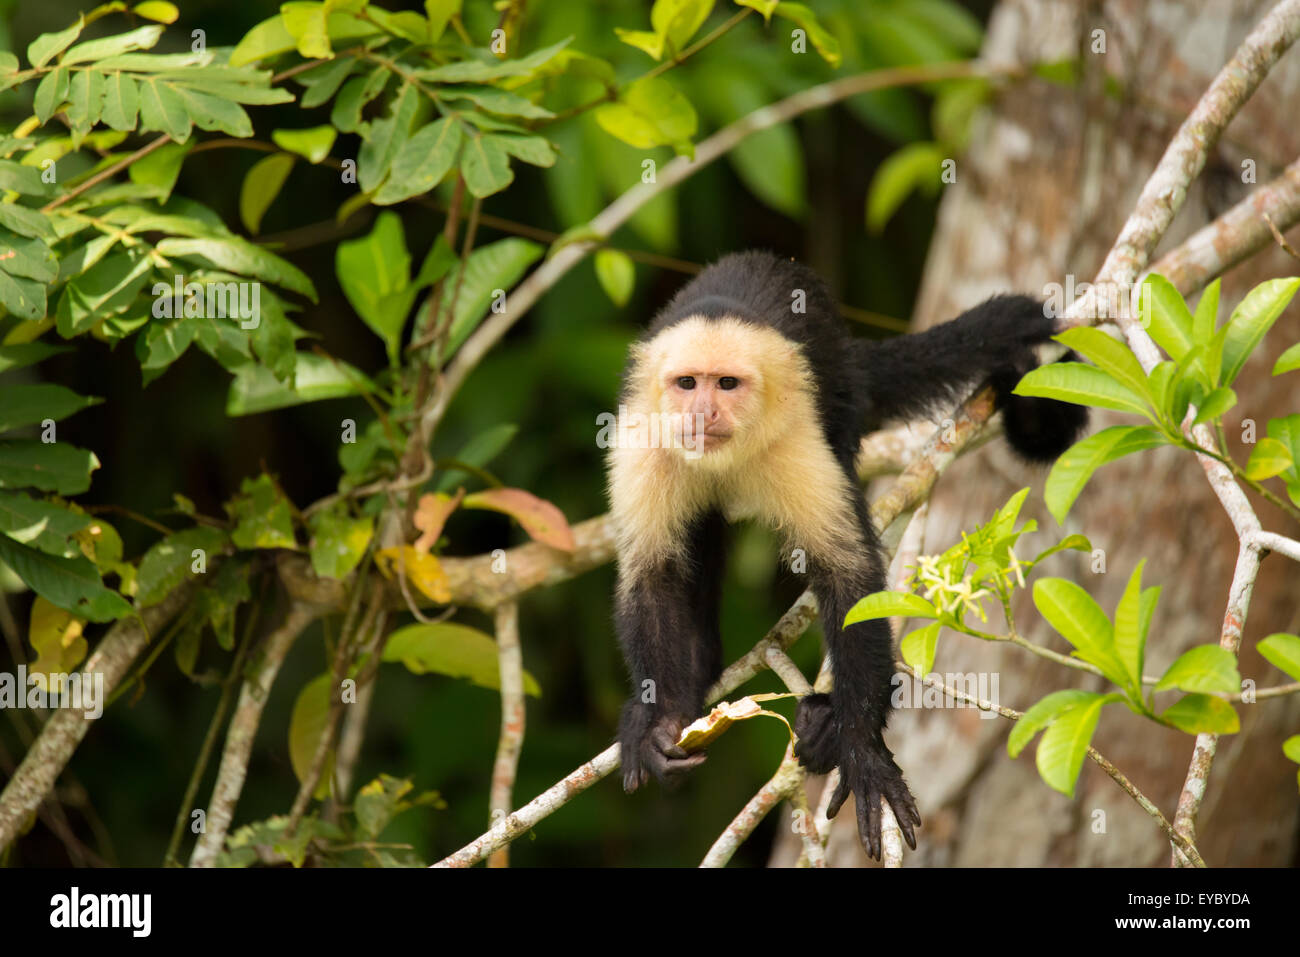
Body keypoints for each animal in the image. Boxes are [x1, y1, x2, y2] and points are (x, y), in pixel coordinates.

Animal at [606, 250, 1088, 860]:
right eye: (687, 383)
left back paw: (822, 726)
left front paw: (862, 750)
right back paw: (692, 678)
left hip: (840, 395)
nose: (702, 412)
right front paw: (662, 721)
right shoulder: (644, 442)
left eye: (727, 384)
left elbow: (849, 579)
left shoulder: (796, 437)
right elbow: (654, 576)